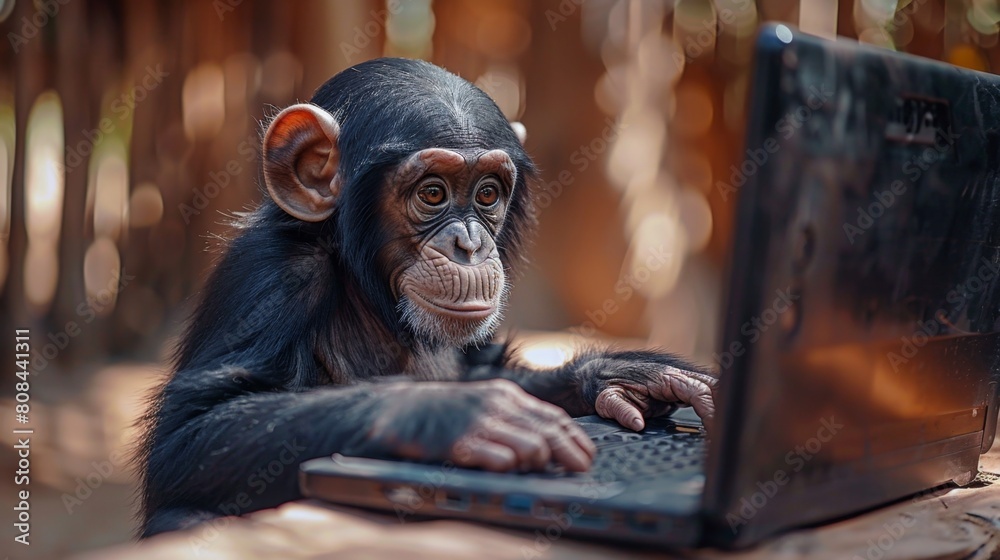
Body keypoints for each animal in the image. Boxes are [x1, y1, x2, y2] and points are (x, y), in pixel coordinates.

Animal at [136, 57, 717, 538]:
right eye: (433, 193)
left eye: (488, 194)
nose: (470, 244)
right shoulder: (269, 274)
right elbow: (193, 432)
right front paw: (452, 414)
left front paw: (620, 375)